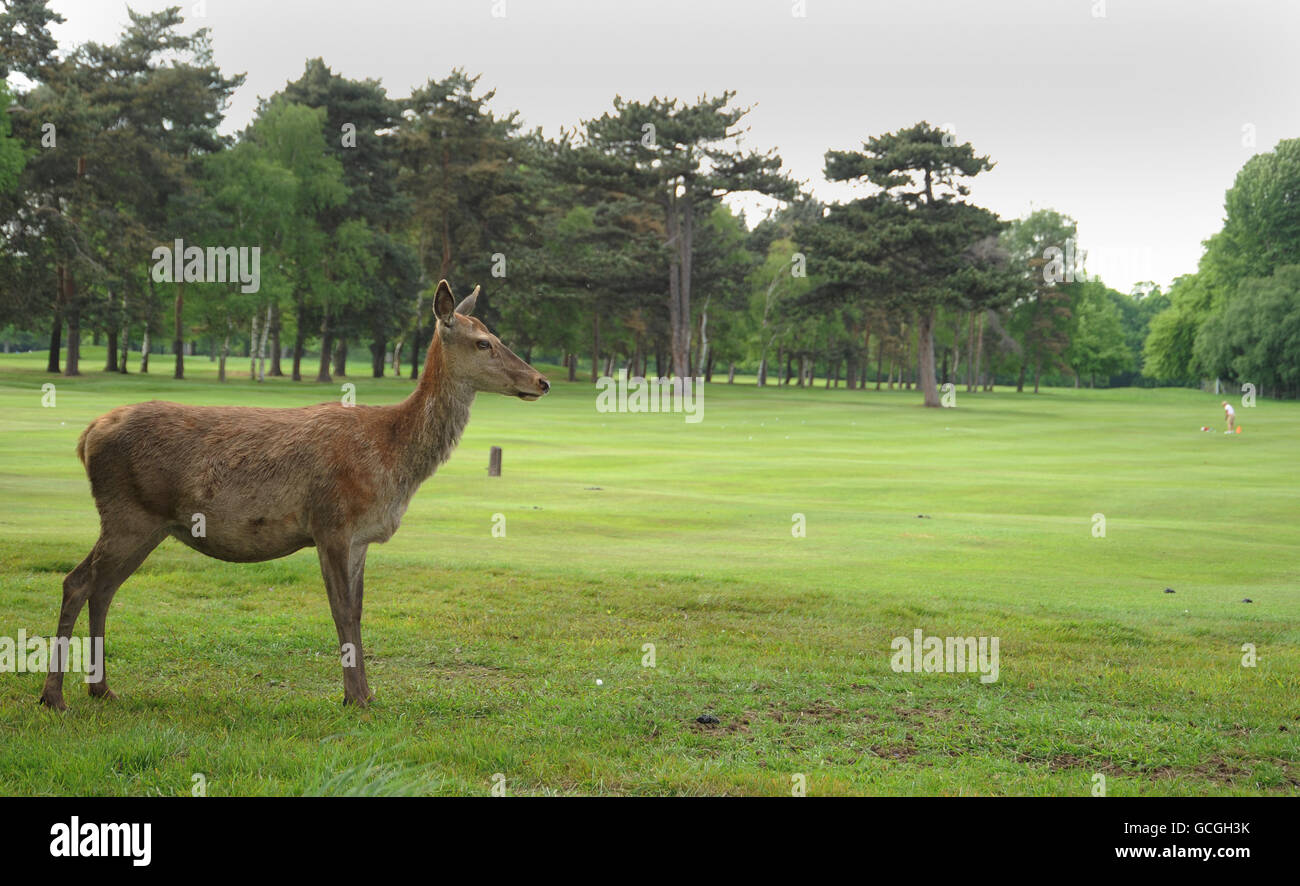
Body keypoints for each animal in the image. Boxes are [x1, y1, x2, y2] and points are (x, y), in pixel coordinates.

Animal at [39, 280, 548, 710]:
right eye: (483, 342)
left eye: (494, 334)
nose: (540, 381)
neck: (393, 458)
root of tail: (86, 436)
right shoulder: (331, 522)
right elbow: (342, 612)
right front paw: (356, 699)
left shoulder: (361, 537)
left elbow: (358, 611)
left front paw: (366, 693)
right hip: (127, 513)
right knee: (78, 582)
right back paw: (54, 697)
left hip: (145, 523)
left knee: (103, 588)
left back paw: (101, 689)